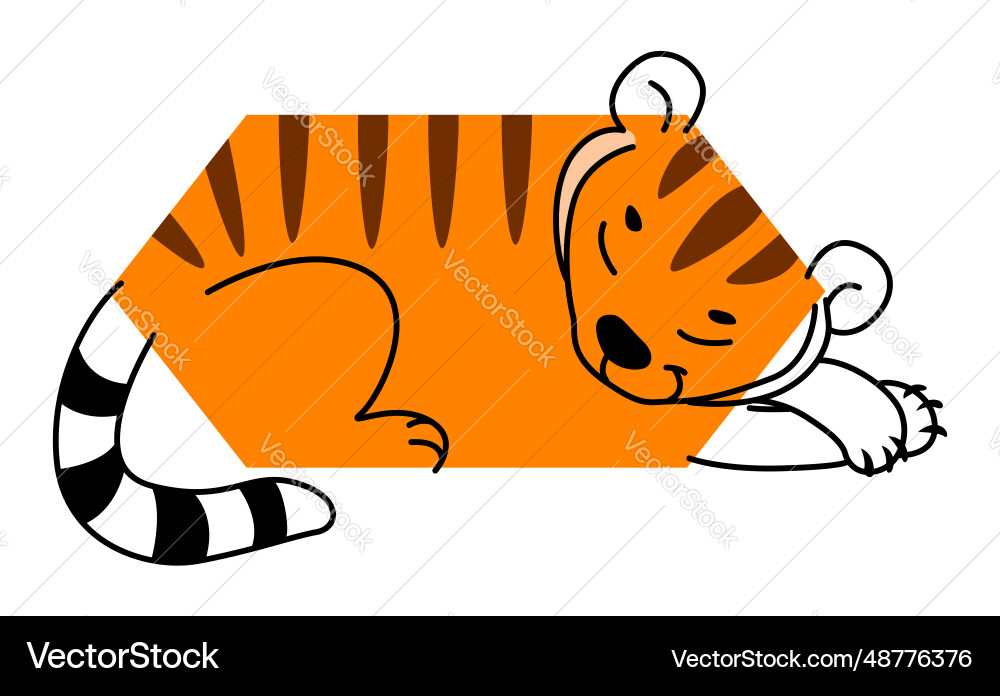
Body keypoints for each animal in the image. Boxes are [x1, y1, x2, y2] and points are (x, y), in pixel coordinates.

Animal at [53, 51, 944, 565]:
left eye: (720, 325)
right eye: (627, 228)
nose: (620, 341)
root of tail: (148, 270)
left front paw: (887, 403)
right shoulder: (592, 387)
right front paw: (864, 413)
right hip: (319, 294)